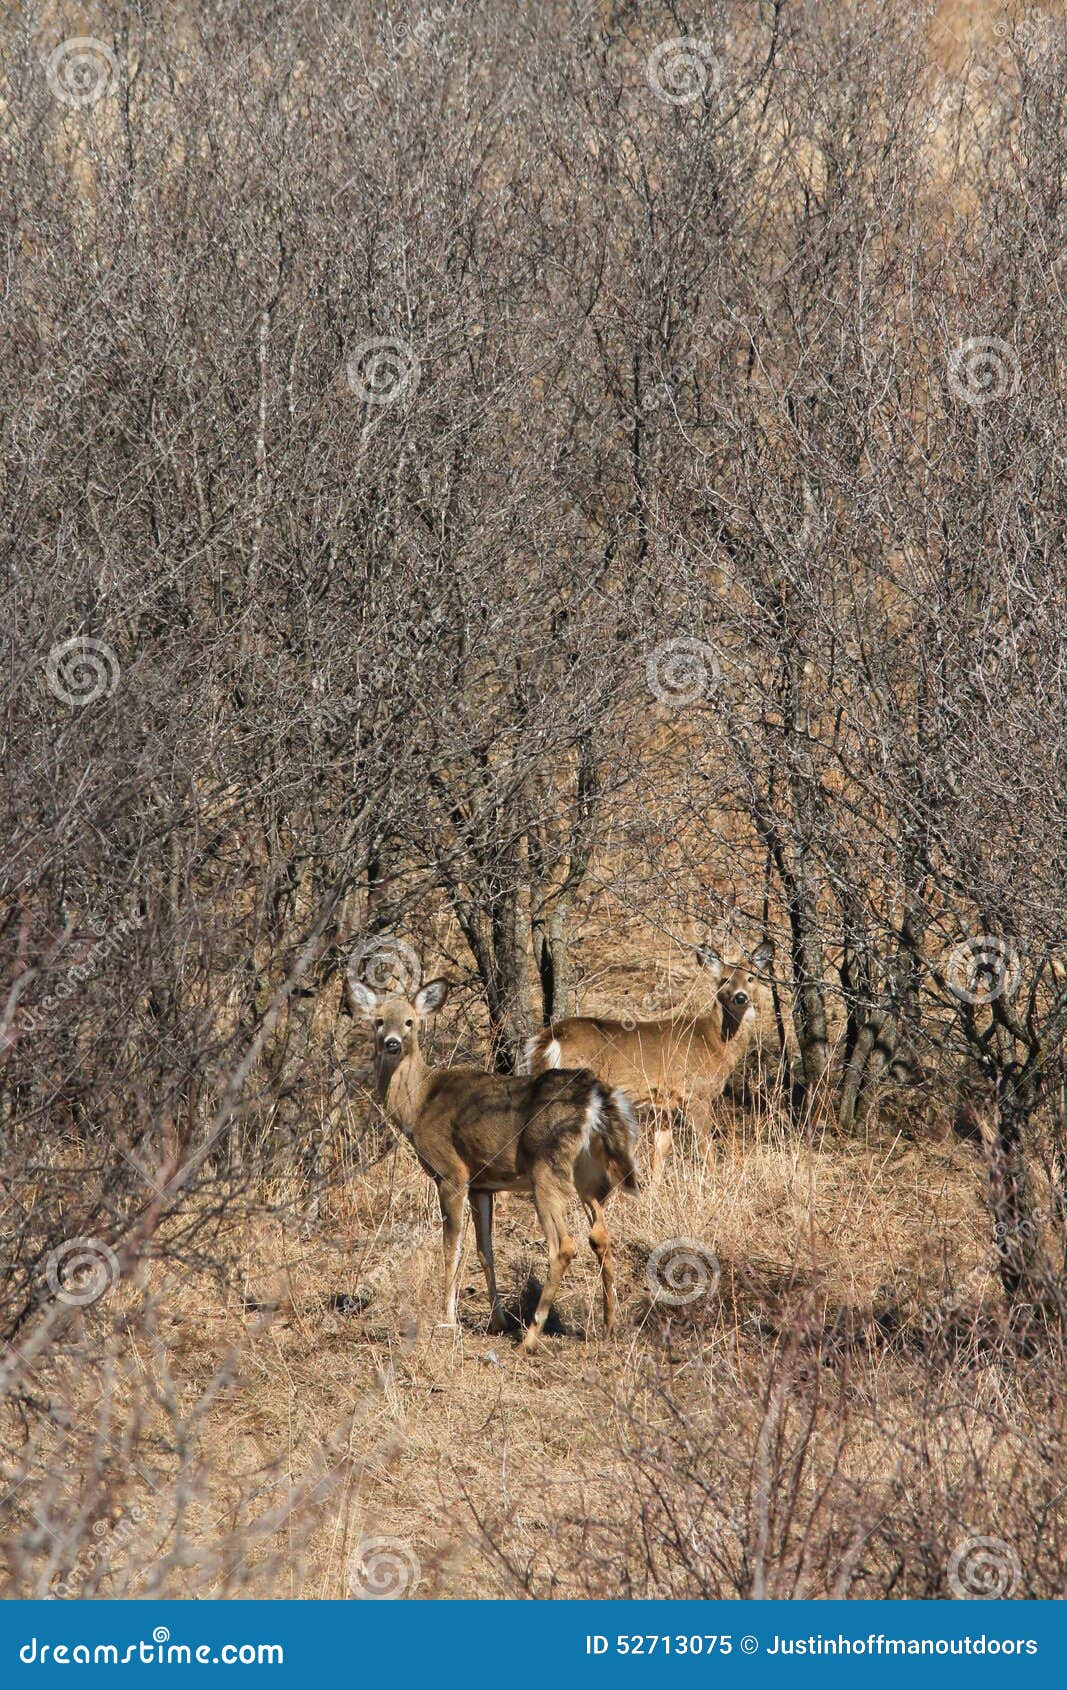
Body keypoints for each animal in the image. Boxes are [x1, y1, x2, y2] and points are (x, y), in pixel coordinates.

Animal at [348, 975, 640, 1352]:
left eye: (410, 1021)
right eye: (379, 1020)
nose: (393, 1043)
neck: (418, 1104)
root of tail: (596, 1097)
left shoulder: (451, 1173)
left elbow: (452, 1248)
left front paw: (448, 1319)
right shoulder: (482, 1184)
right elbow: (484, 1249)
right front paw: (497, 1321)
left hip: (546, 1169)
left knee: (564, 1245)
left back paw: (529, 1338)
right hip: (587, 1174)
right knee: (601, 1236)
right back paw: (608, 1326)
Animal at [522, 940, 776, 1182]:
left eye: (751, 977)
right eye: (725, 980)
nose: (741, 997)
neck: (715, 1043)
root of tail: (551, 1037)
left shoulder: (664, 1104)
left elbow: (661, 1149)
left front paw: (654, 1189)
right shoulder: (696, 1094)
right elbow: (705, 1145)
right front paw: (715, 1181)